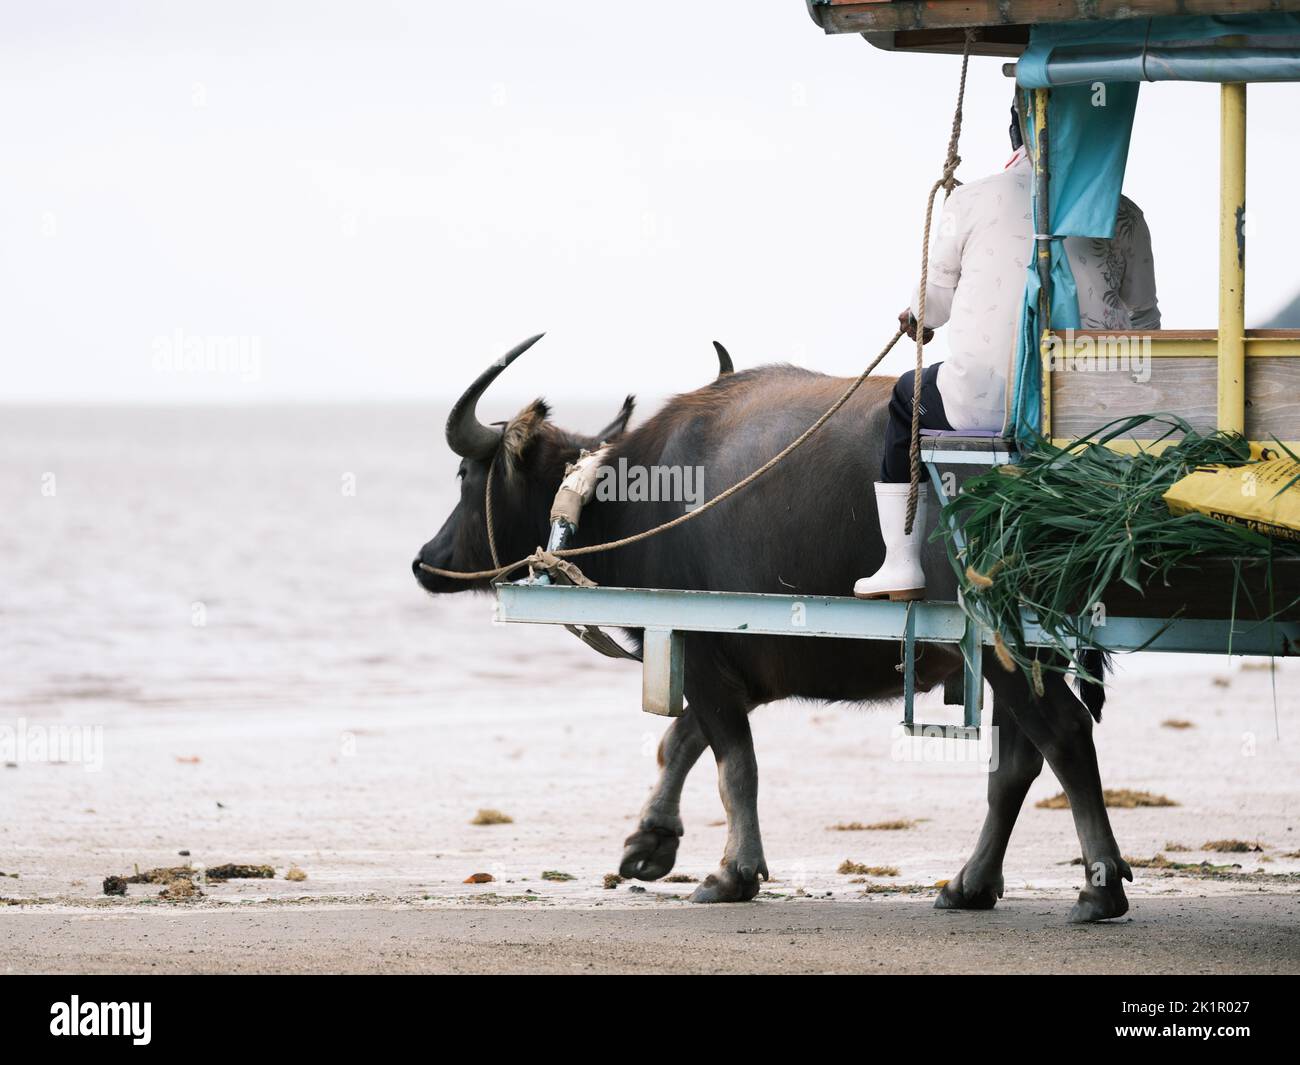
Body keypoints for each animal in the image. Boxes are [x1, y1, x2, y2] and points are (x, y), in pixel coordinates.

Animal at [414, 336, 1130, 922]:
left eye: (464, 475)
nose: (425, 561)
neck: (630, 500)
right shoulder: (740, 667)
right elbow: (681, 743)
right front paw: (650, 842)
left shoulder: (703, 652)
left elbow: (734, 765)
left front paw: (732, 874)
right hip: (1019, 653)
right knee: (1016, 766)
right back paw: (970, 884)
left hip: (1003, 647)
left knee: (1064, 738)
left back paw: (1099, 889)